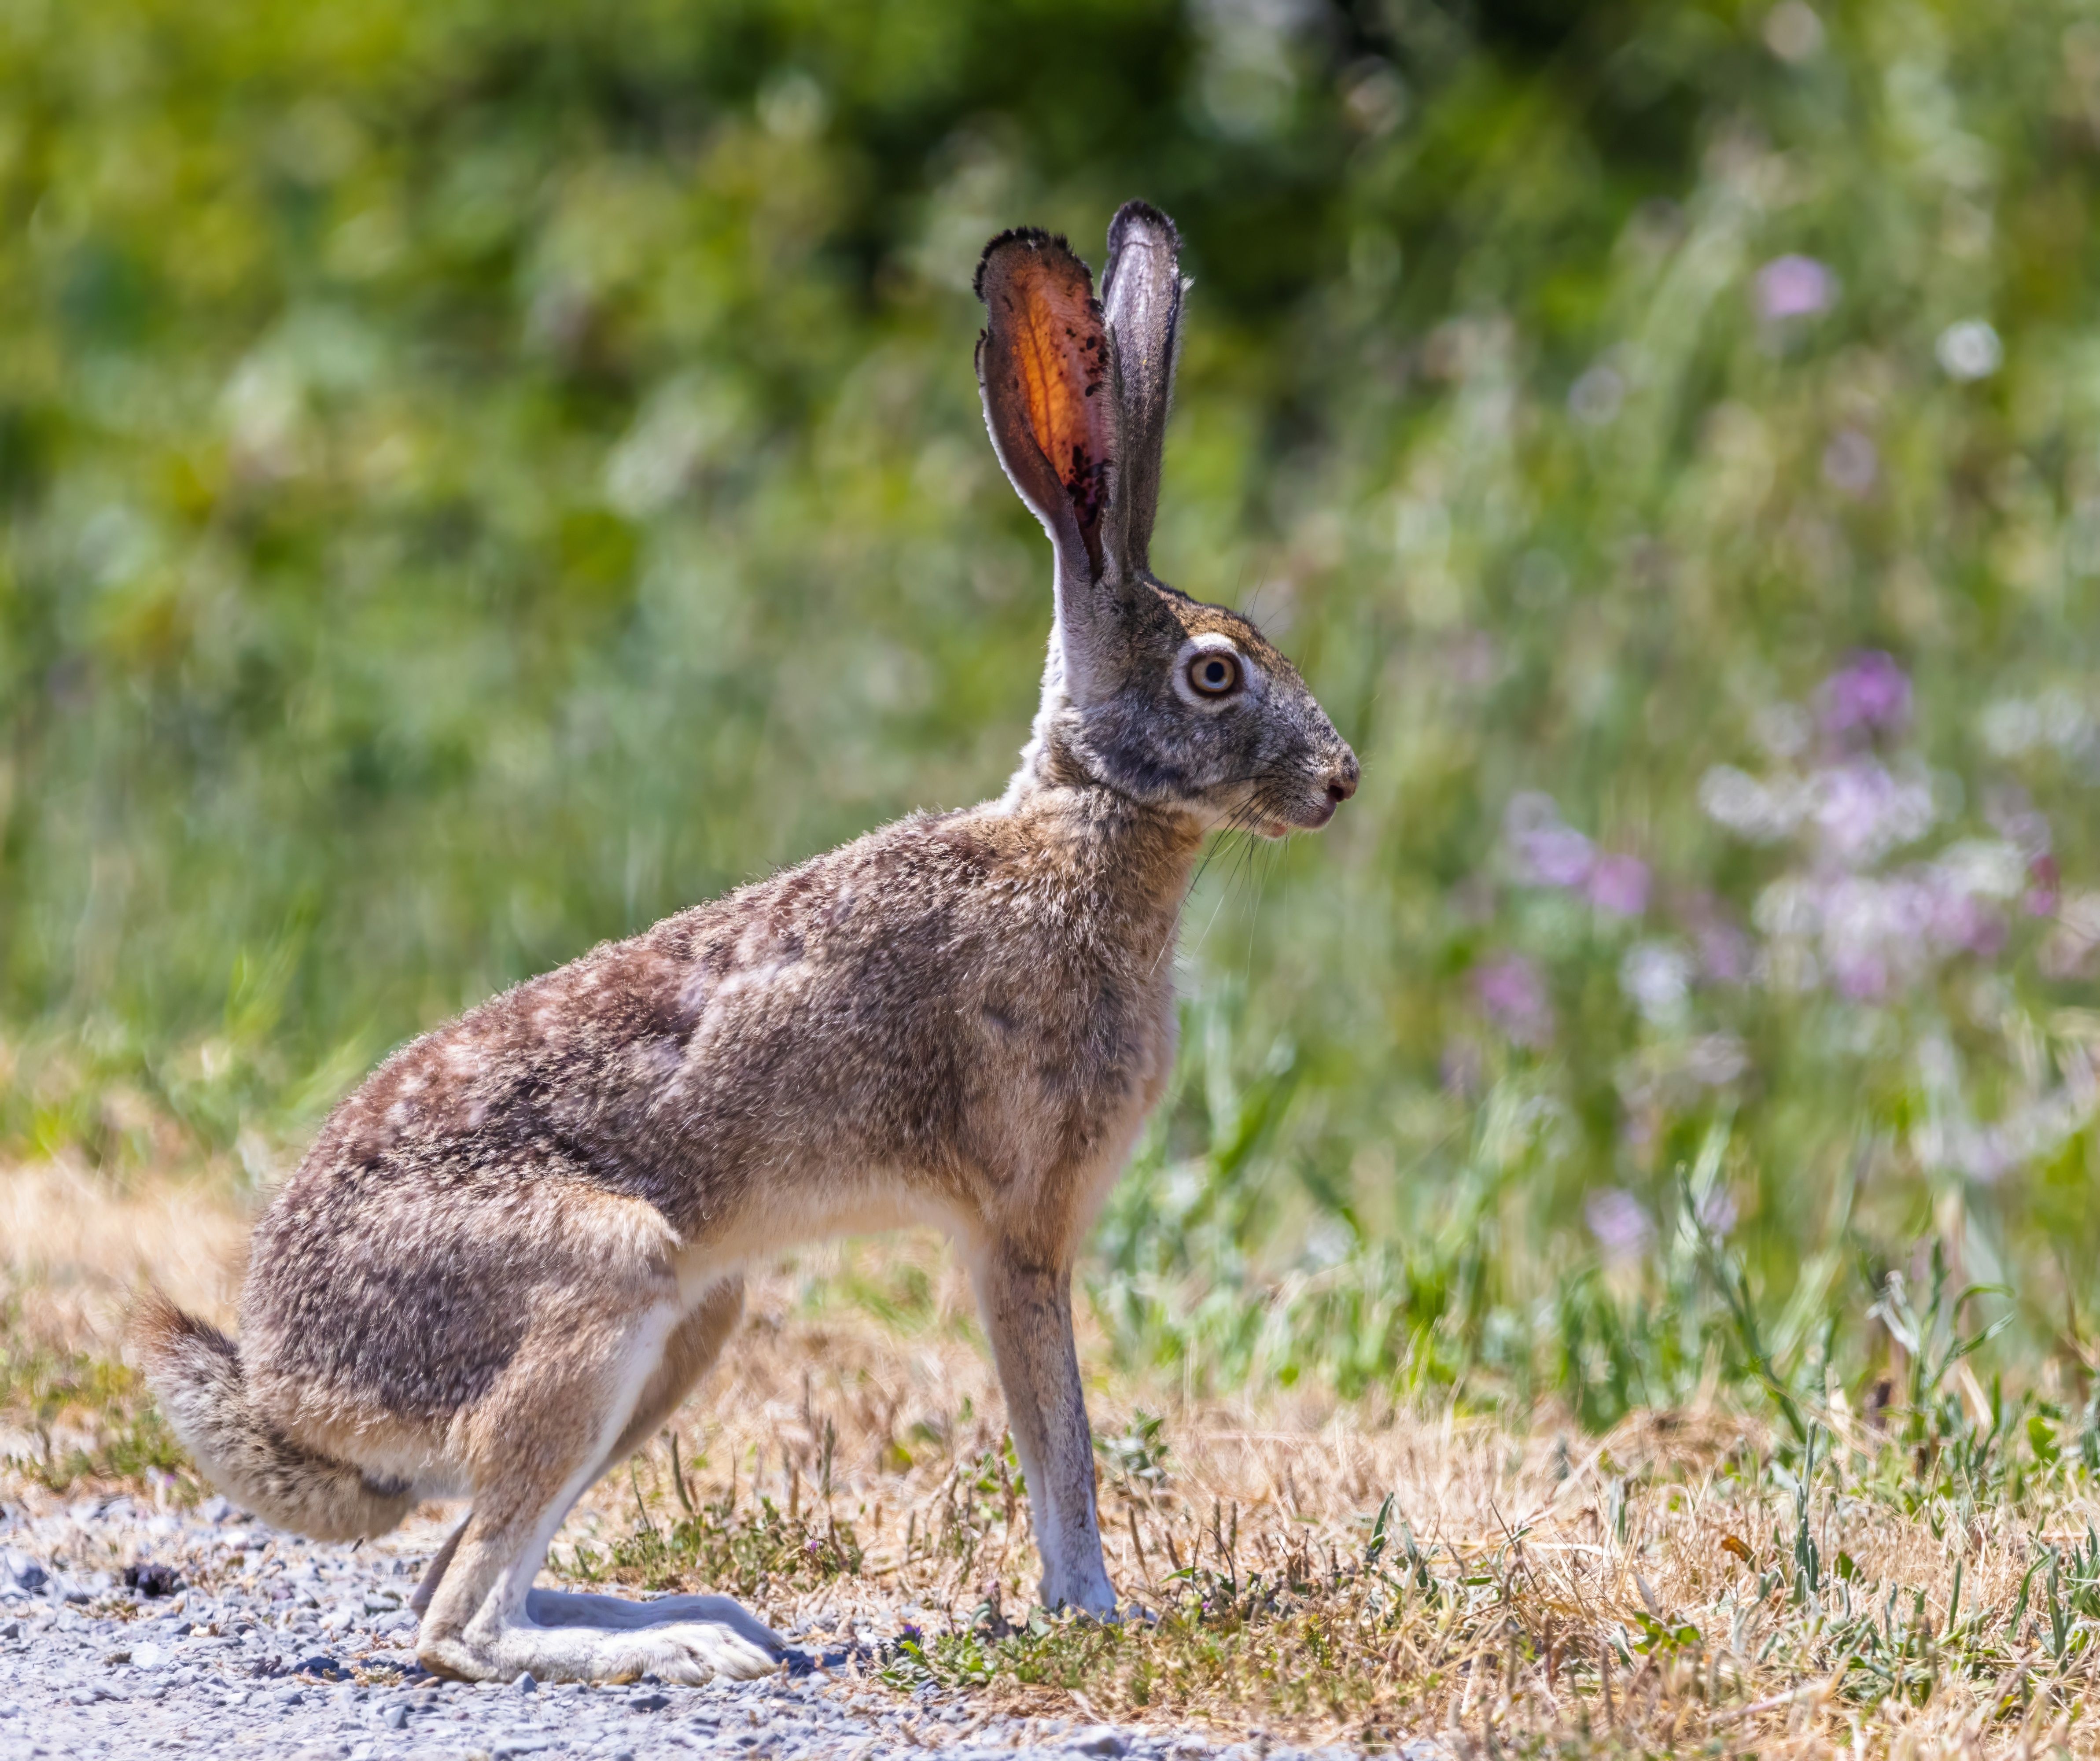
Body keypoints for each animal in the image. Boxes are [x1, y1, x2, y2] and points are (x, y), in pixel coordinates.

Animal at [135, 201, 1359, 1686]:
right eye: (1215, 674)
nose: (1343, 781)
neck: (1087, 825)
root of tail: (289, 1393)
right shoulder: (1018, 1226)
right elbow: (1057, 1438)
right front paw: (1098, 1609)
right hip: (595, 1292)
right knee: (458, 1622)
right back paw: (687, 1652)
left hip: (690, 1319)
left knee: (454, 1578)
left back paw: (720, 1622)